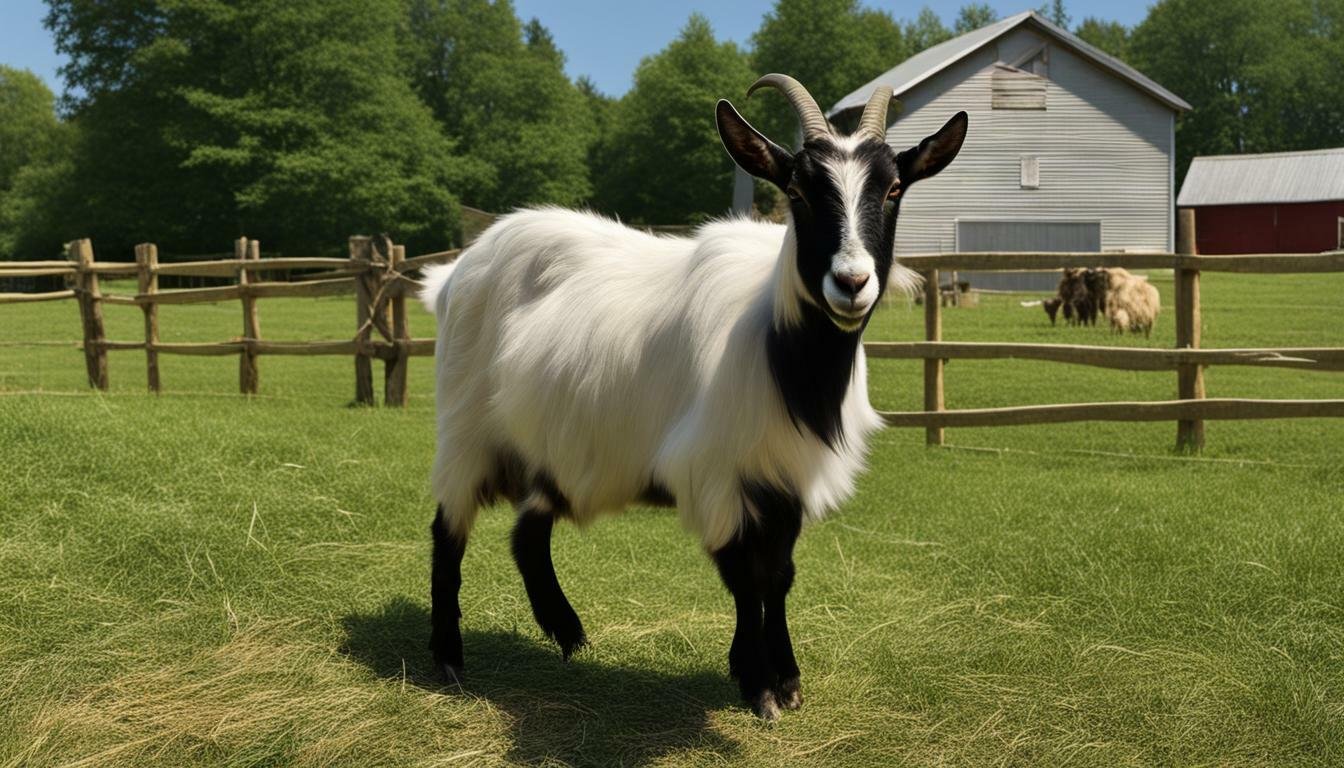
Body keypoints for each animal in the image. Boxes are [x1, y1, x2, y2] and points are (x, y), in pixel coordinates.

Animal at [419, 74, 967, 720]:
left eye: (894, 189)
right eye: (798, 191)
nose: (851, 282)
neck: (783, 356)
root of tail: (455, 272)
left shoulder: (786, 475)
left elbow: (780, 574)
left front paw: (785, 679)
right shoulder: (716, 473)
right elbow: (747, 577)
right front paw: (757, 683)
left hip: (552, 445)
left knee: (528, 534)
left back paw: (567, 632)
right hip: (465, 429)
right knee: (447, 531)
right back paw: (448, 658)